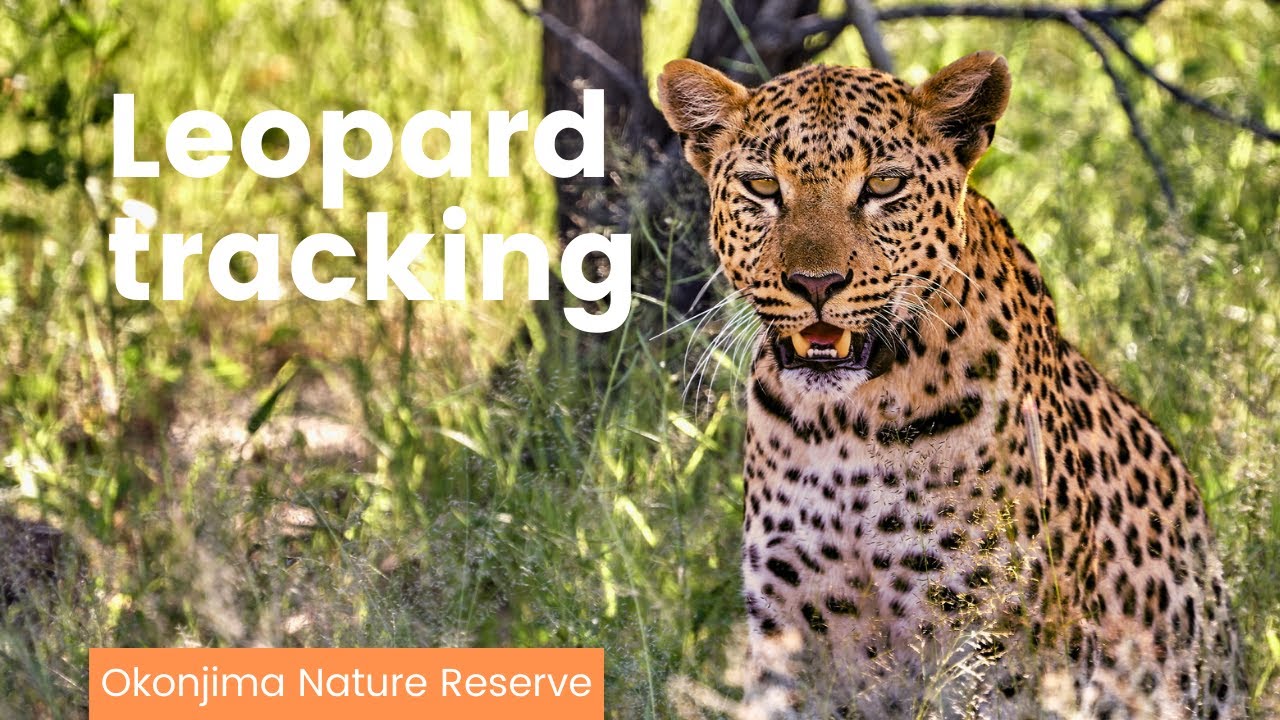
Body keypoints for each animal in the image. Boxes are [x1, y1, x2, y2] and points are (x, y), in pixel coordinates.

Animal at [658, 52, 1247, 719]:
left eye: (884, 186)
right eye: (761, 188)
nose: (815, 283)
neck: (844, 427)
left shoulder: (997, 647)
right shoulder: (792, 641)